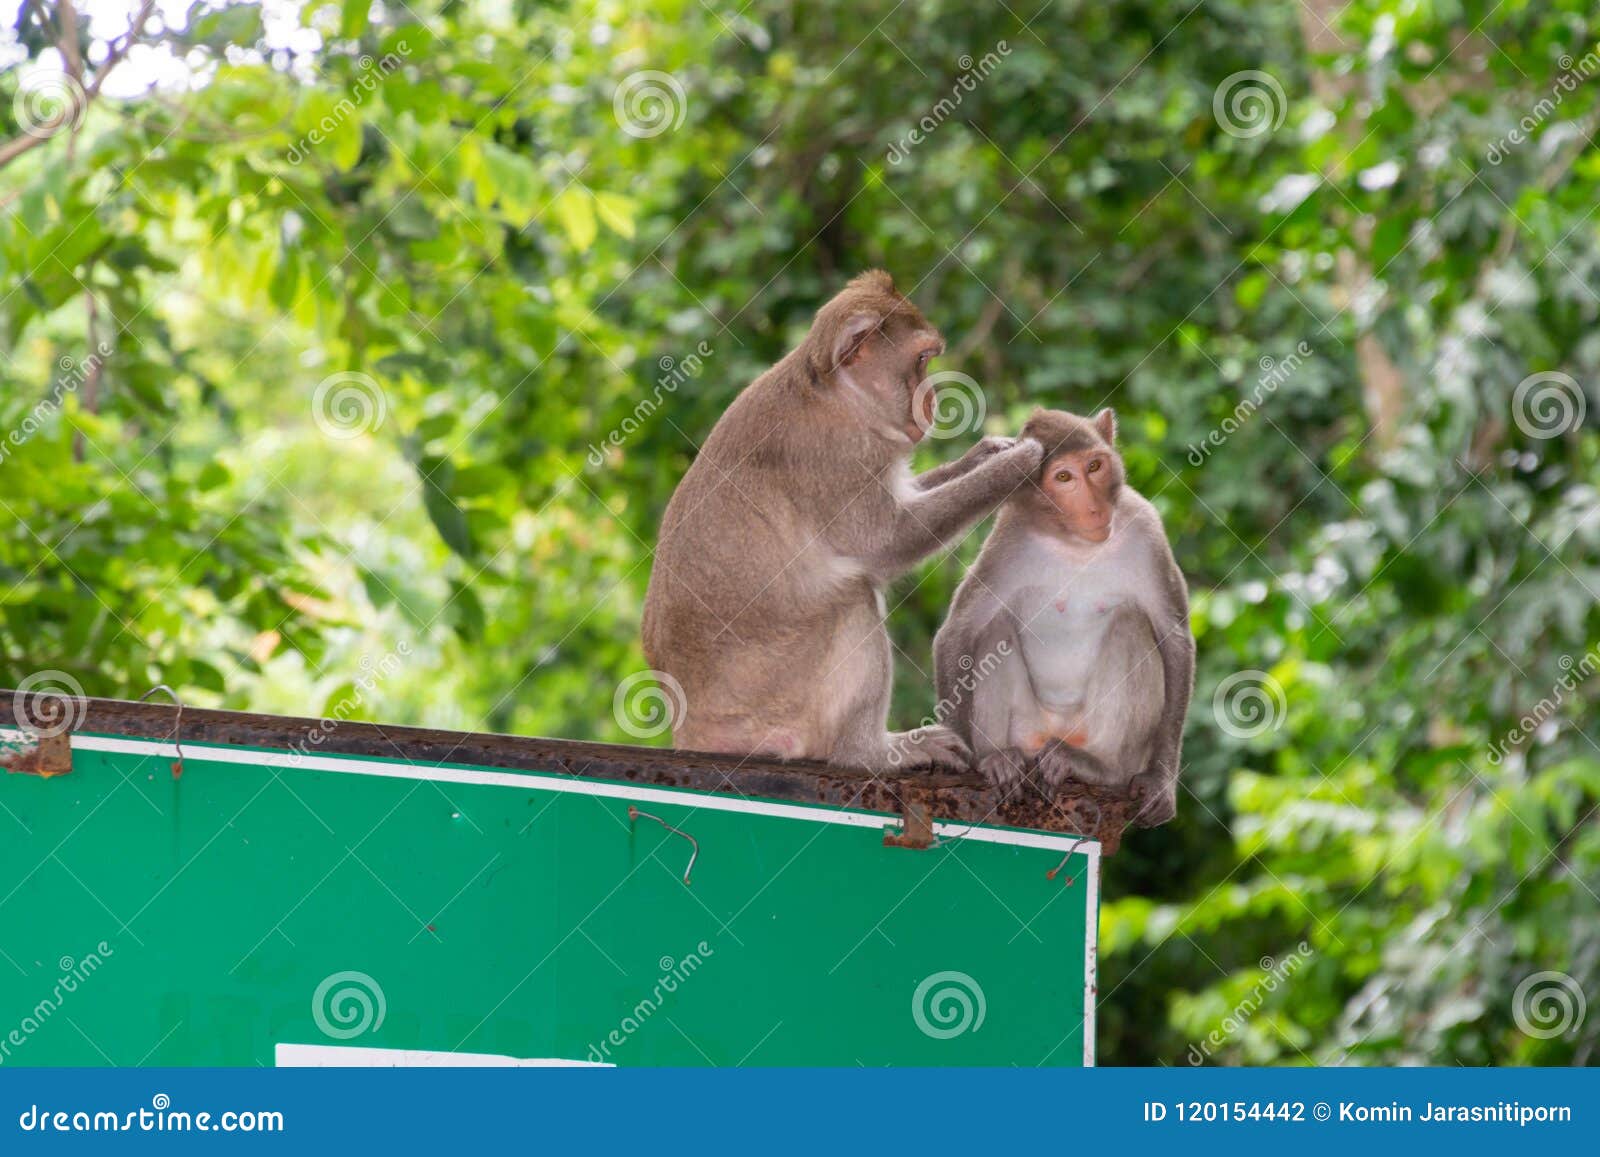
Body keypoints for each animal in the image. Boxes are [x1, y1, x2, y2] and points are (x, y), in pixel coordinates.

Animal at [641, 271, 1045, 772]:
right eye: (922, 359)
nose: (932, 400)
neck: (832, 393)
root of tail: (691, 730)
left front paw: (989, 453)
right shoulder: (842, 454)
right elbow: (885, 544)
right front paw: (1018, 465)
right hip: (778, 693)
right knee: (853, 595)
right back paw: (871, 752)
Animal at [932, 407, 1194, 826]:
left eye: (1094, 466)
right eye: (1064, 477)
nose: (1095, 508)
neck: (1074, 543)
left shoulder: (1147, 529)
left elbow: (1174, 639)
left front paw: (1162, 781)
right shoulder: (1009, 537)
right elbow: (960, 630)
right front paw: (969, 758)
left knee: (1130, 624)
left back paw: (1097, 766)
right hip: (1027, 730)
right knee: (995, 631)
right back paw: (1001, 760)